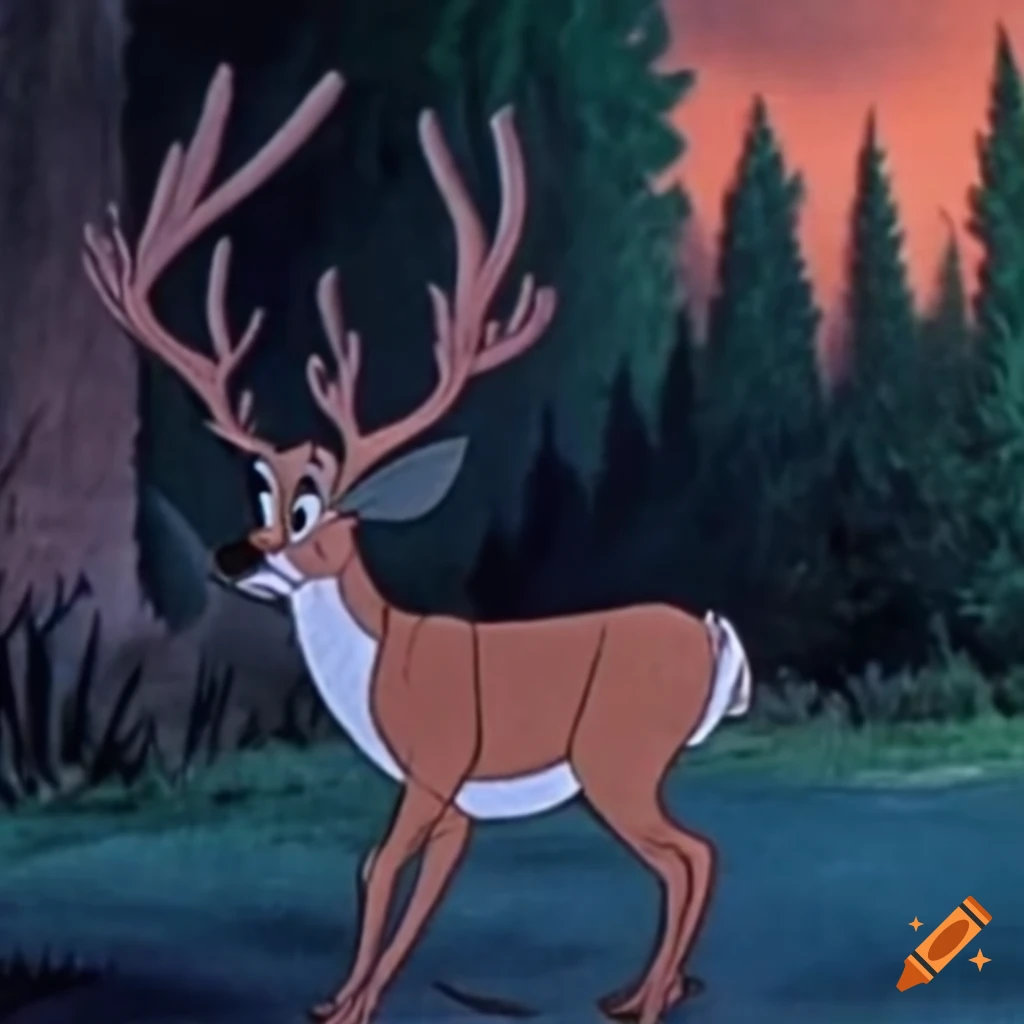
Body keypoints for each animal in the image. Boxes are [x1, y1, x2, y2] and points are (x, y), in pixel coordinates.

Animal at [82, 63, 752, 1024]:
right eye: (260, 489)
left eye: (310, 509)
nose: (231, 558)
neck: (377, 663)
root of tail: (711, 635)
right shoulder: (454, 799)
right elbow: (409, 885)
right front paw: (344, 999)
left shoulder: (433, 769)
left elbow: (377, 867)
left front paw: (345, 1007)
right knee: (684, 859)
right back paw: (638, 990)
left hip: (618, 758)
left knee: (691, 853)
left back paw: (651, 998)